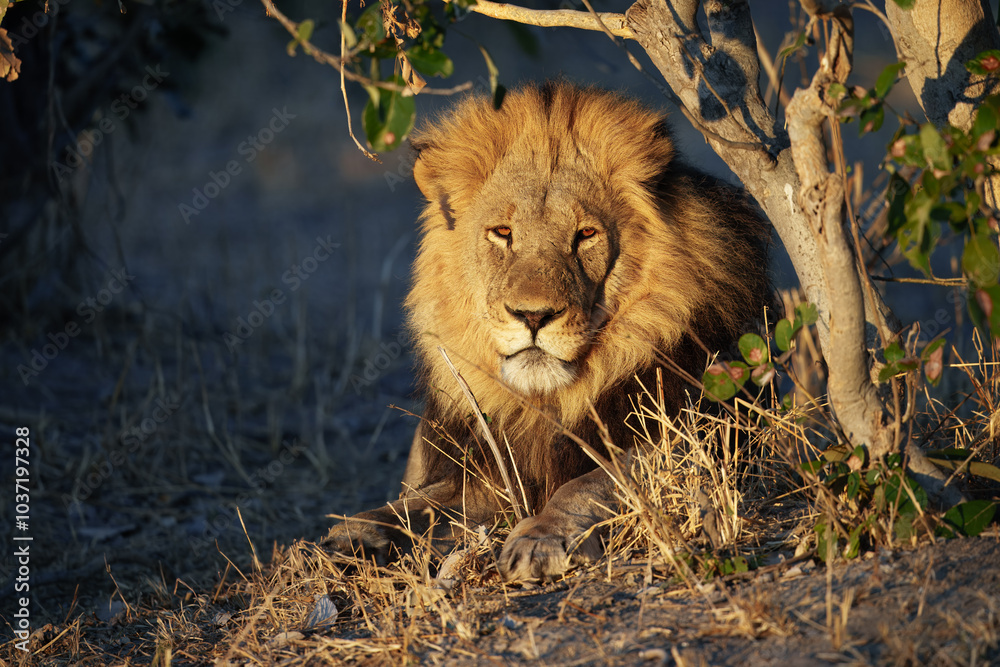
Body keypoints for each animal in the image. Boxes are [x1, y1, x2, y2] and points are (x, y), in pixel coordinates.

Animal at [324, 81, 771, 581]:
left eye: (586, 234)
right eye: (502, 232)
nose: (533, 316)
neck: (545, 402)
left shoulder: (693, 443)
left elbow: (594, 482)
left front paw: (539, 538)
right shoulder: (490, 469)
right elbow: (419, 503)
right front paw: (357, 533)